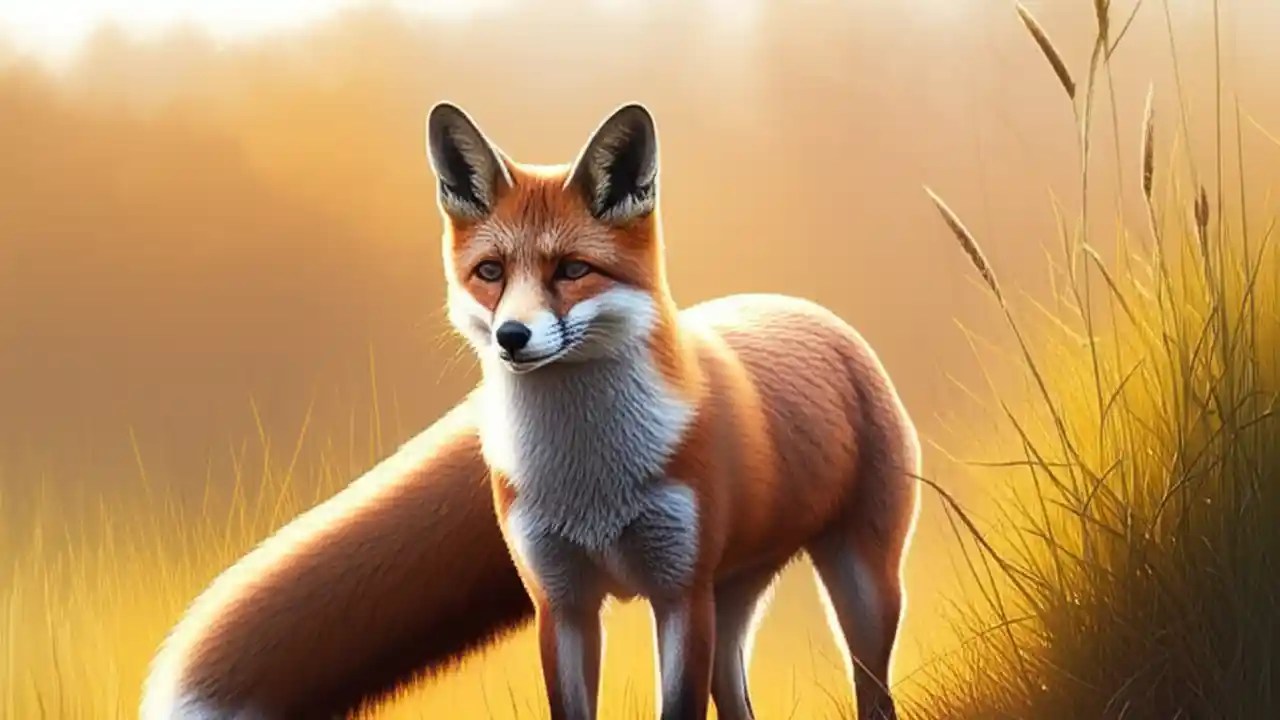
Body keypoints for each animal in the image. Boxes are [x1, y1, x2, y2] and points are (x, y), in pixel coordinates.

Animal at [141, 102, 921, 720]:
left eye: (572, 270)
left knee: (872, 689)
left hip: (858, 582)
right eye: (490, 273)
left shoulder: (676, 593)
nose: (513, 338)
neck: (590, 481)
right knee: (737, 691)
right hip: (733, 594)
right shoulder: (562, 601)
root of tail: (807, 306)